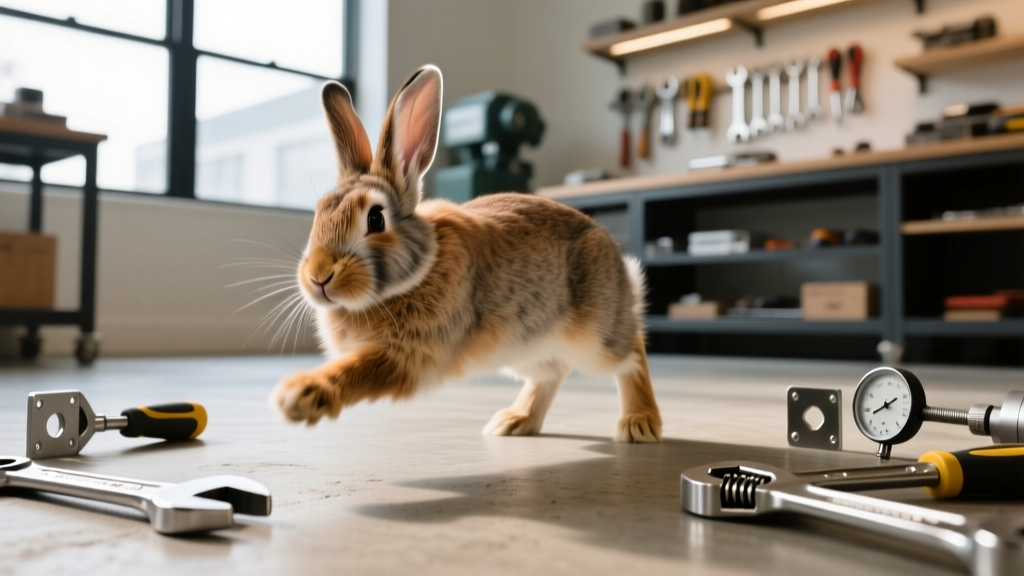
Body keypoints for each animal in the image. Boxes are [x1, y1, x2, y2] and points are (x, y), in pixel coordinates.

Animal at [269, 64, 662, 443]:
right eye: (319, 212)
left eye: (375, 218)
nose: (318, 276)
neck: (419, 270)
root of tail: (613, 253)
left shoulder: (410, 355)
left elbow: (356, 371)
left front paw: (301, 394)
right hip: (523, 348)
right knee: (554, 370)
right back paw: (515, 421)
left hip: (595, 337)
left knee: (632, 351)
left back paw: (640, 424)